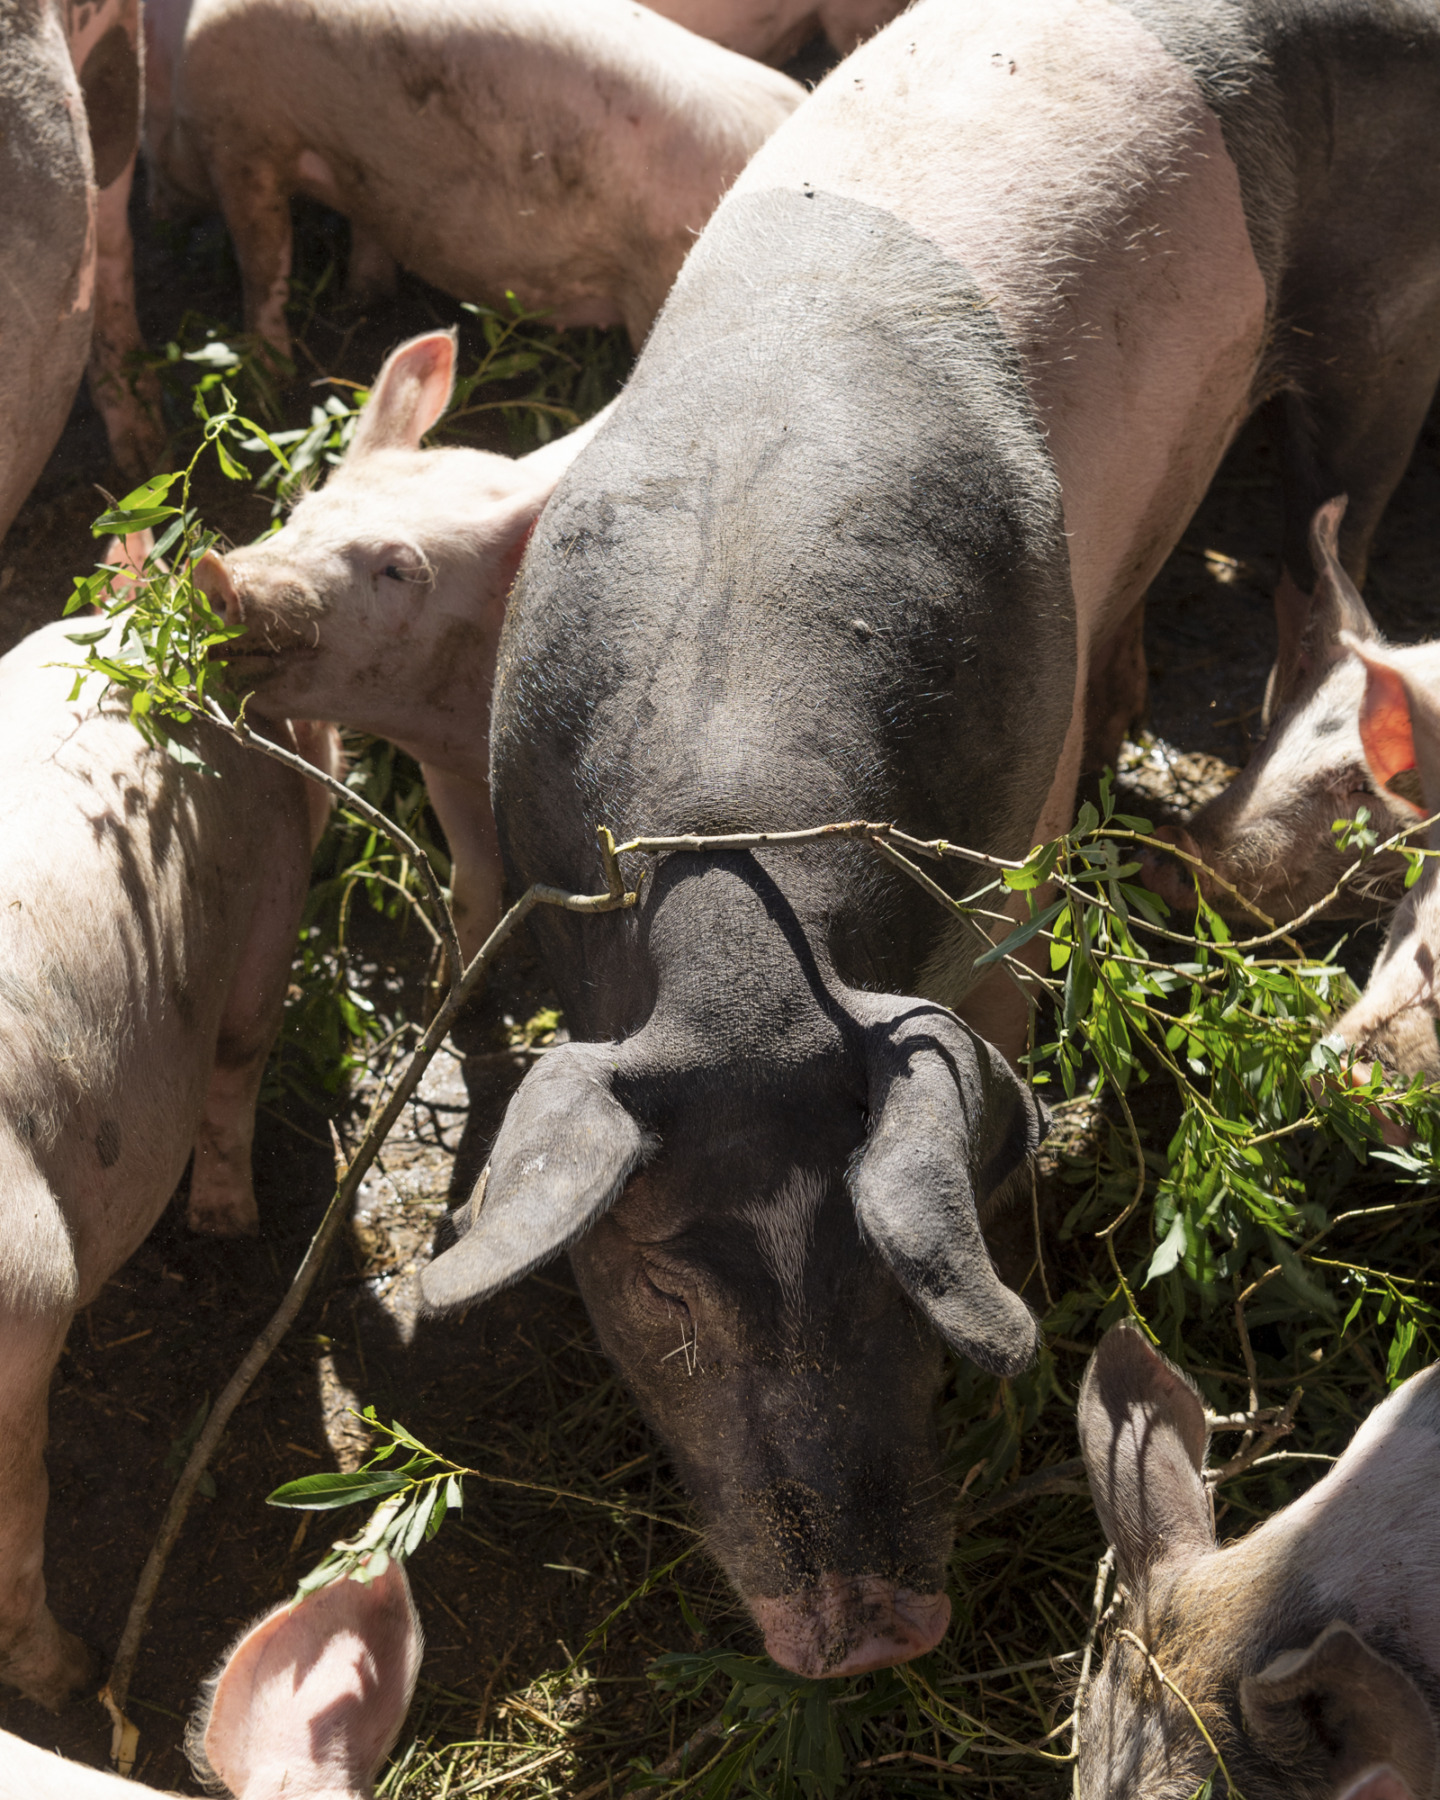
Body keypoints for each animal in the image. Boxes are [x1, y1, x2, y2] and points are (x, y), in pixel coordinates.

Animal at [144, 0, 801, 360]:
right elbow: (369, 229)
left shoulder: (241, 139)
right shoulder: (361, 172)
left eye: (149, 151)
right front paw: (362, 296)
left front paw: (269, 364)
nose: (158, 211)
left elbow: (262, 263)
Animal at [198, 331, 611, 965]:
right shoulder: (441, 770)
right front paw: (450, 973)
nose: (216, 573)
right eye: (298, 515)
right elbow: (470, 887)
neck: (463, 726)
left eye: (397, 570)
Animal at [398, 0, 1440, 1680]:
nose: (868, 1634)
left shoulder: (1000, 883)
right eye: (662, 1291)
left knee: (1323, 533)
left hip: (1384, 323)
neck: (740, 910)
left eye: (897, 1288)